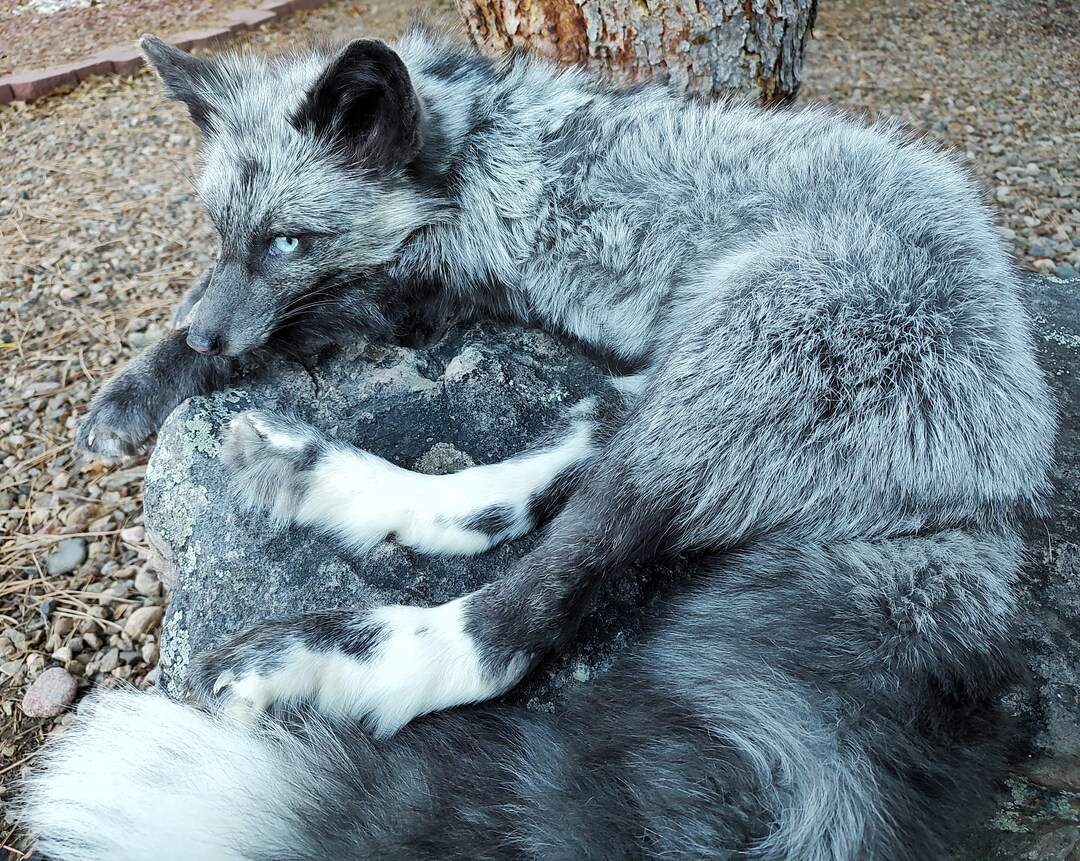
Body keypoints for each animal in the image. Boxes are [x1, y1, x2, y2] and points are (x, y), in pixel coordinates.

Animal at [22, 24, 1055, 861]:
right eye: (221, 232)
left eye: (289, 241)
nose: (204, 336)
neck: (473, 145)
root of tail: (998, 487)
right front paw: (150, 371)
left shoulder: (417, 290)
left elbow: (285, 329)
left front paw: (147, 378)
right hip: (664, 385)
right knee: (519, 492)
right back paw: (314, 474)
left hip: (733, 365)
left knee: (513, 624)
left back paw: (323, 647)